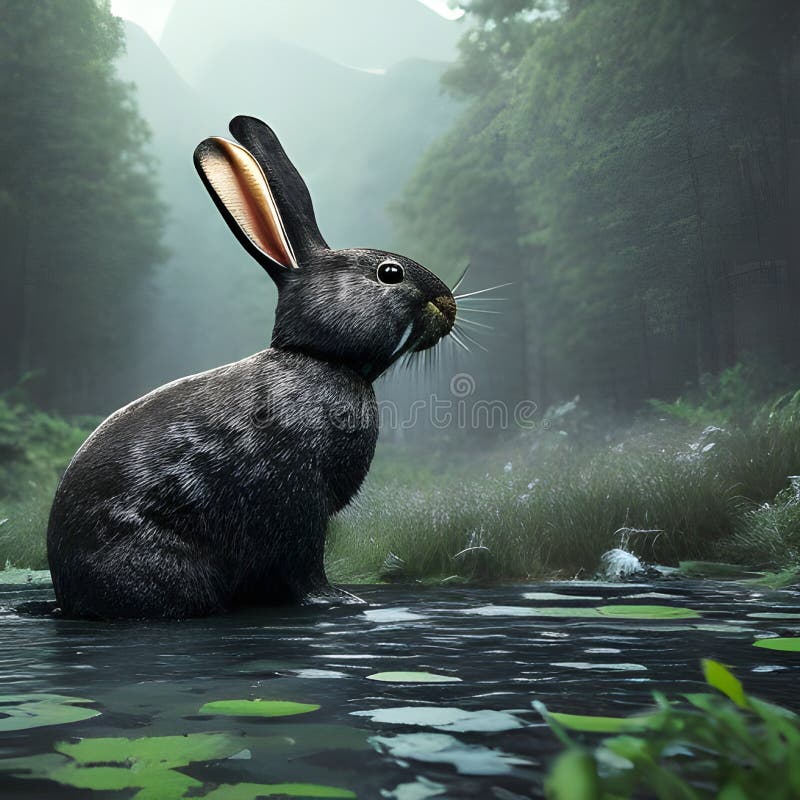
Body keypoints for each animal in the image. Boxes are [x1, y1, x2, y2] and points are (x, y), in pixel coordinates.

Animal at [46, 116, 456, 620]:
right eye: (390, 273)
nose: (449, 304)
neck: (318, 358)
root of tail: (70, 597)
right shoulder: (297, 498)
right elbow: (304, 563)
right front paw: (339, 600)